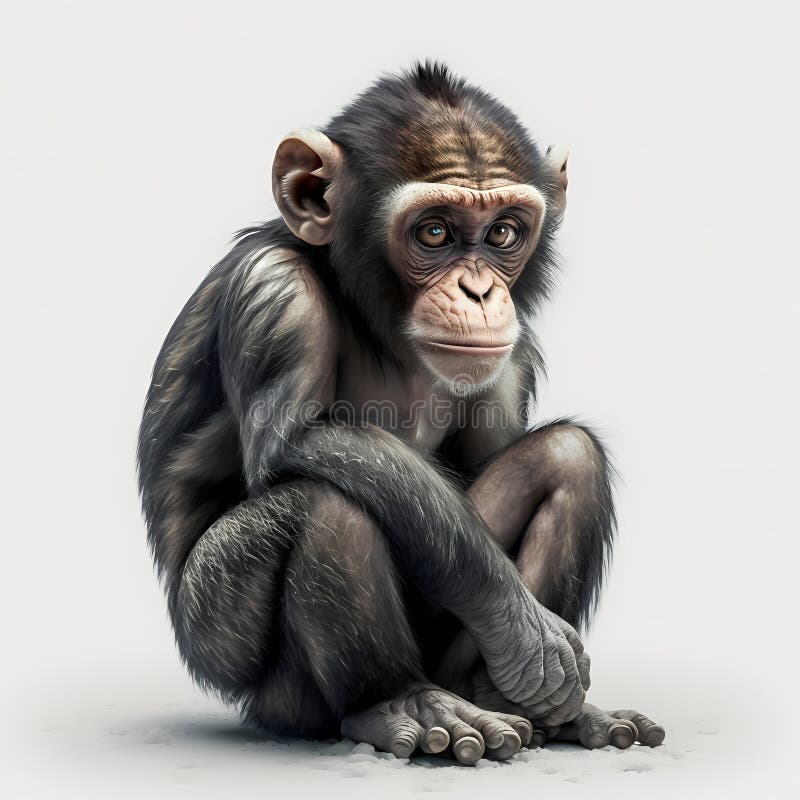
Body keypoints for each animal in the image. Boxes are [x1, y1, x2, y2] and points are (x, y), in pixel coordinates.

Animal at [138, 62, 664, 765]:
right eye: (434, 231)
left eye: (503, 232)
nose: (479, 291)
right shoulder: (273, 292)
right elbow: (300, 438)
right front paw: (523, 627)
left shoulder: (512, 351)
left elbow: (504, 451)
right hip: (253, 677)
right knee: (322, 501)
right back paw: (402, 703)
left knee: (567, 455)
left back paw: (520, 707)